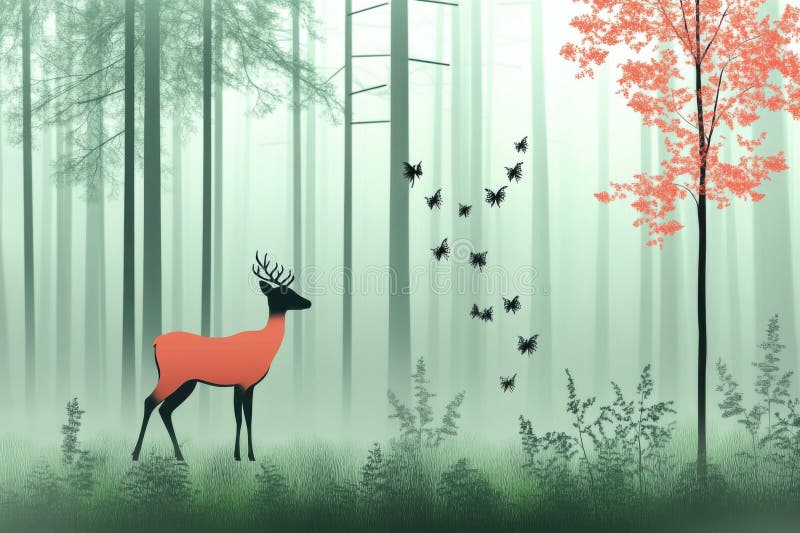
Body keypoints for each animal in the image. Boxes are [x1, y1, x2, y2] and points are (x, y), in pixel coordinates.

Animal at [131, 252, 311, 462]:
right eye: (285, 292)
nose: (308, 302)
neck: (264, 346)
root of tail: (156, 342)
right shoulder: (241, 383)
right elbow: (239, 418)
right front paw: (237, 455)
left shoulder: (249, 385)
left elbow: (249, 418)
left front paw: (251, 456)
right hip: (171, 376)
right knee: (150, 401)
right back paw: (136, 453)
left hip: (187, 382)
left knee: (165, 409)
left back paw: (179, 455)